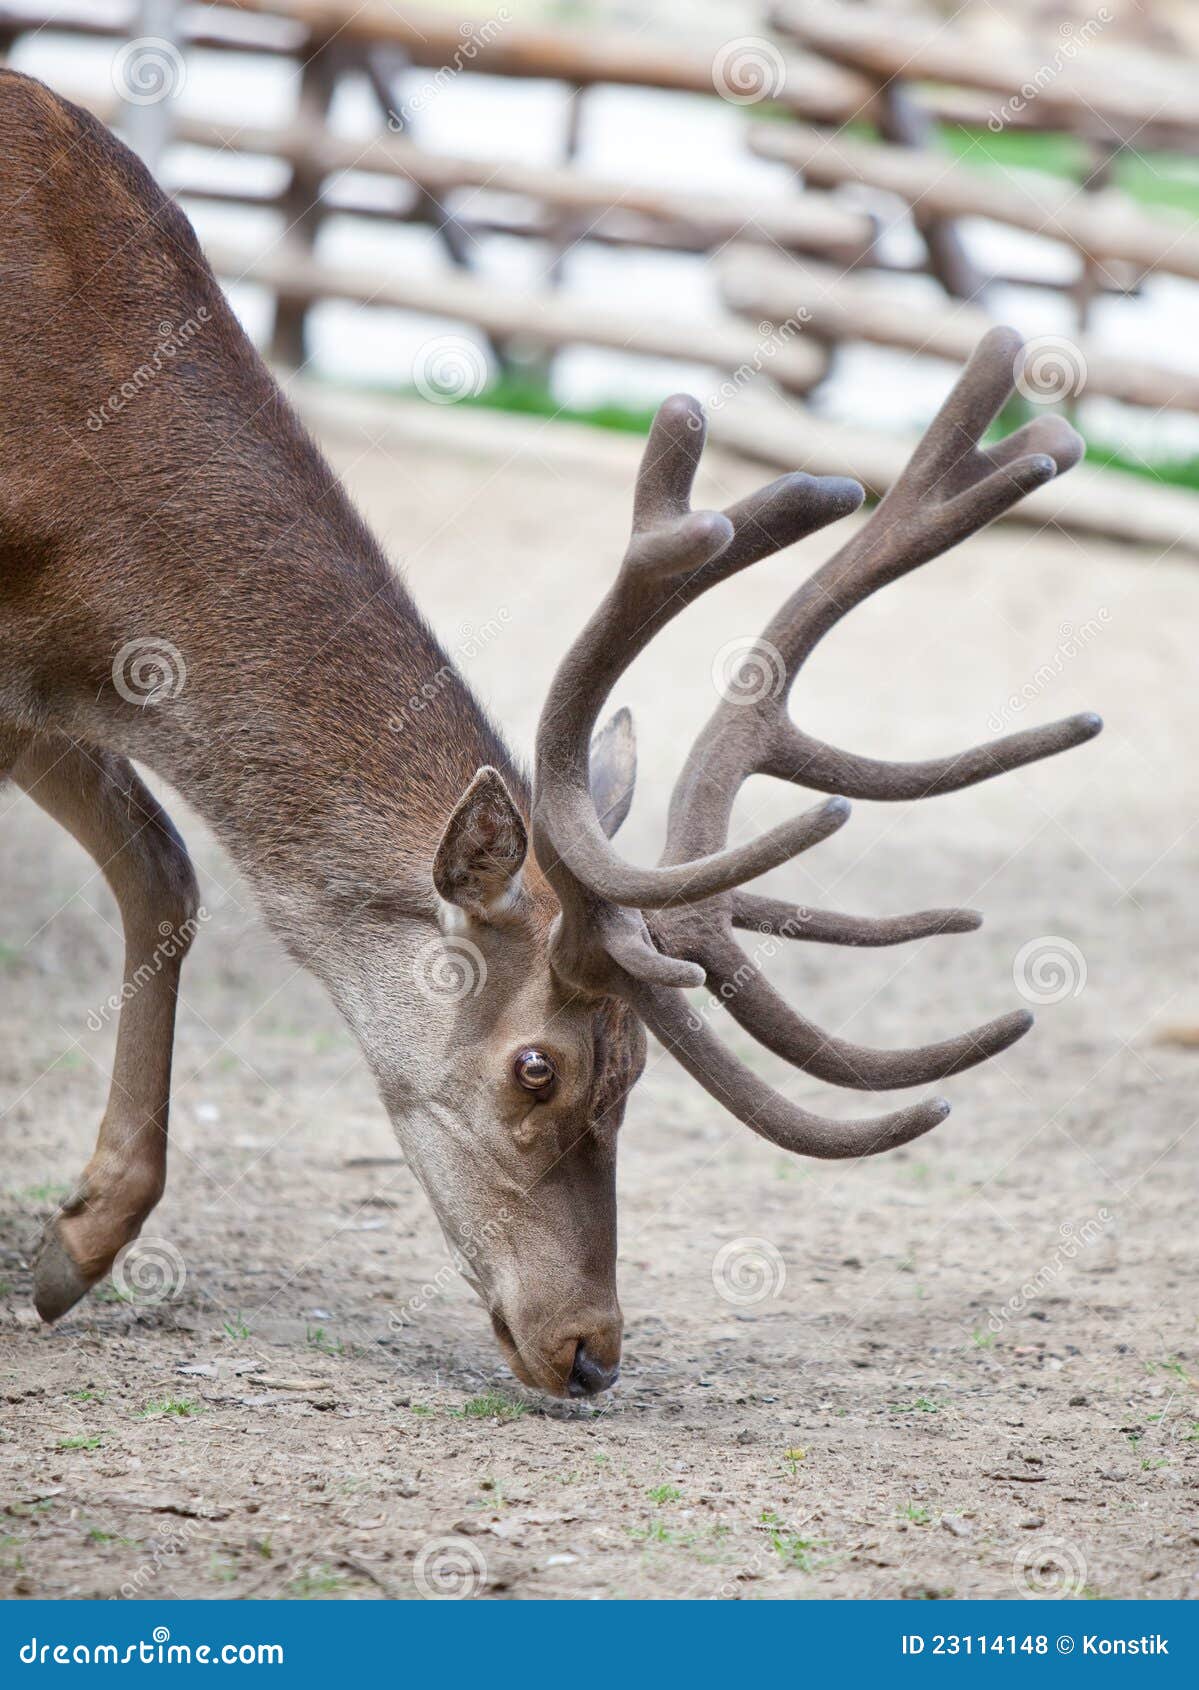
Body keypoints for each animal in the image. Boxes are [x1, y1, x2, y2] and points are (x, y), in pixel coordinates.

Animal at [0, 69, 1101, 1398]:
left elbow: (166, 873)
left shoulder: (38, 693)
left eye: (636, 1070)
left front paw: (76, 1243)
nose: (590, 1350)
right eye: (539, 1065)